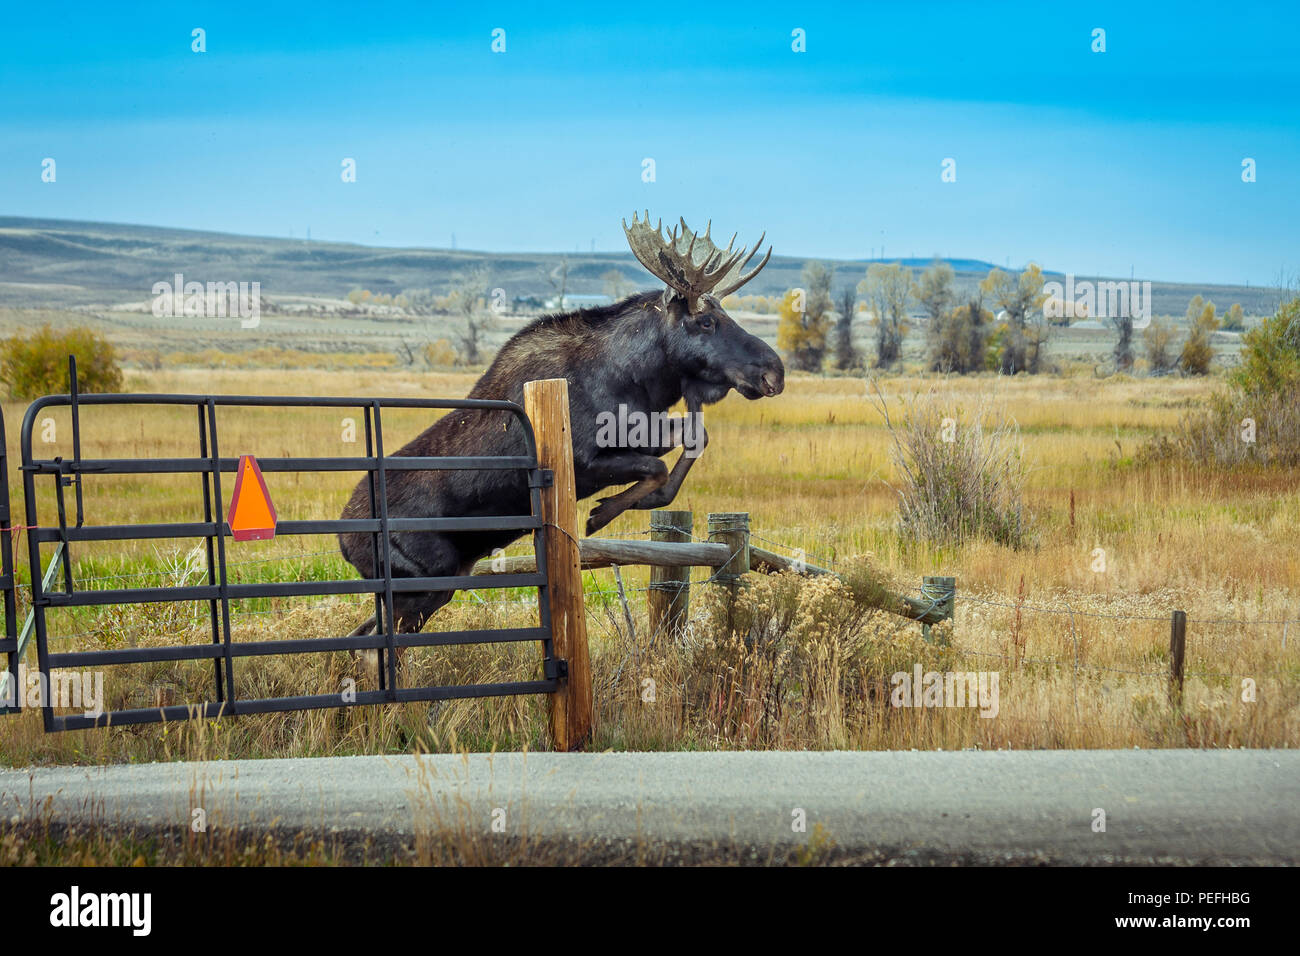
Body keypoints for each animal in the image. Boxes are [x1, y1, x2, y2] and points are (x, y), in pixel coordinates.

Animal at [339, 212, 784, 644]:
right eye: (706, 321)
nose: (773, 372)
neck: (639, 379)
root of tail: (344, 542)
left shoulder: (641, 430)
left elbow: (693, 439)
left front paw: (634, 503)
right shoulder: (584, 460)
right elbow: (658, 467)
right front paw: (602, 514)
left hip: (435, 587)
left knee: (363, 637)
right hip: (421, 584)